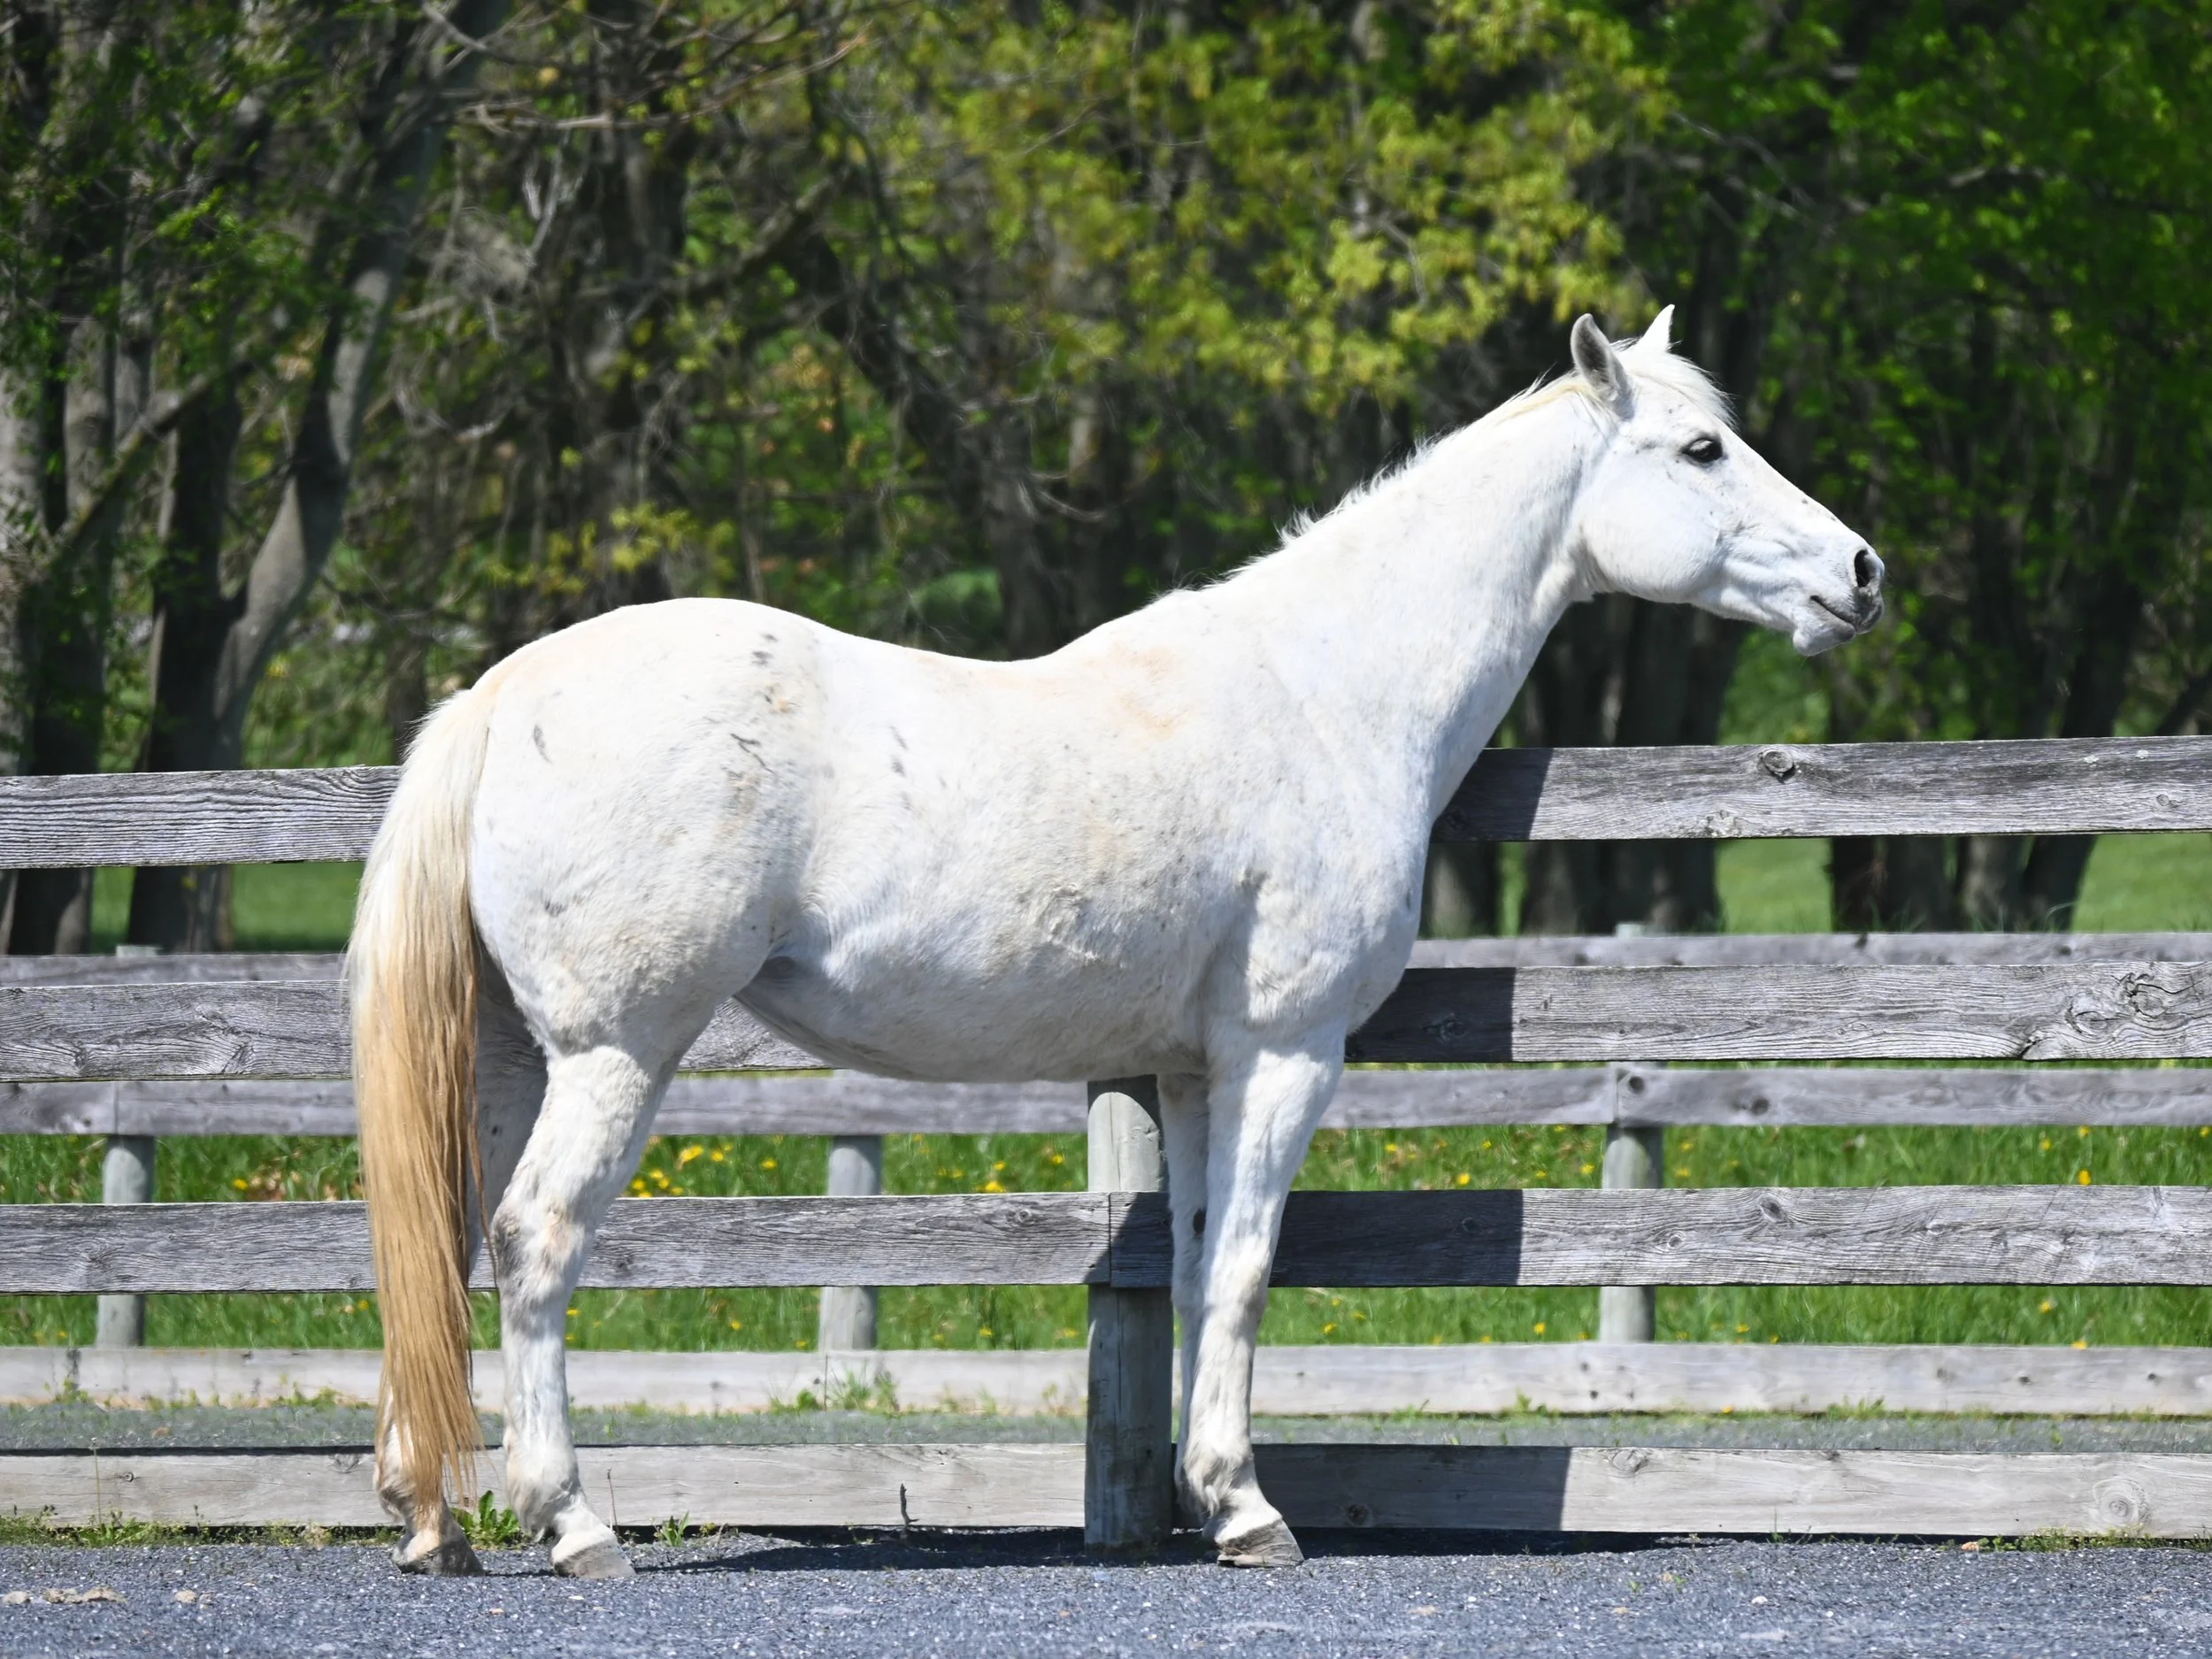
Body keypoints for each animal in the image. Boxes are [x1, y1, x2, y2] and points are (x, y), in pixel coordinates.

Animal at [349, 307, 1881, 1577]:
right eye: (1701, 445)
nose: (1860, 572)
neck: (1328, 689)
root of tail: (500, 695)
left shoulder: (1199, 1071)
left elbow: (1201, 1266)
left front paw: (1211, 1493)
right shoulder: (1284, 1052)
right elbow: (1251, 1269)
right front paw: (1250, 1510)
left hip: (503, 1058)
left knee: (437, 1234)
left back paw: (429, 1519)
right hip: (613, 1052)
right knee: (536, 1241)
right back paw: (572, 1523)